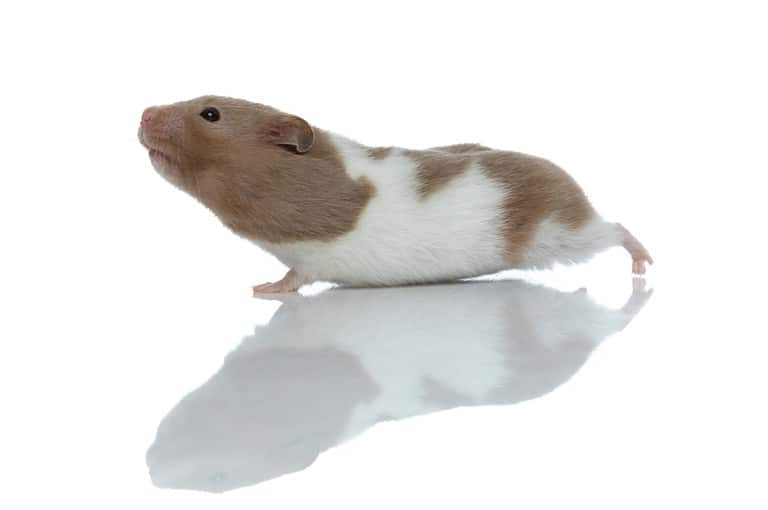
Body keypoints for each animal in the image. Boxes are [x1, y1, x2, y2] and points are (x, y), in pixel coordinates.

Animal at [138, 95, 653, 293]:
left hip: (562, 236)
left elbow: (294, 277)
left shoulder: (308, 259)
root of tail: (571, 186)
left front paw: (262, 290)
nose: (142, 114)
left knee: (619, 228)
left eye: (210, 114)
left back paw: (642, 265)